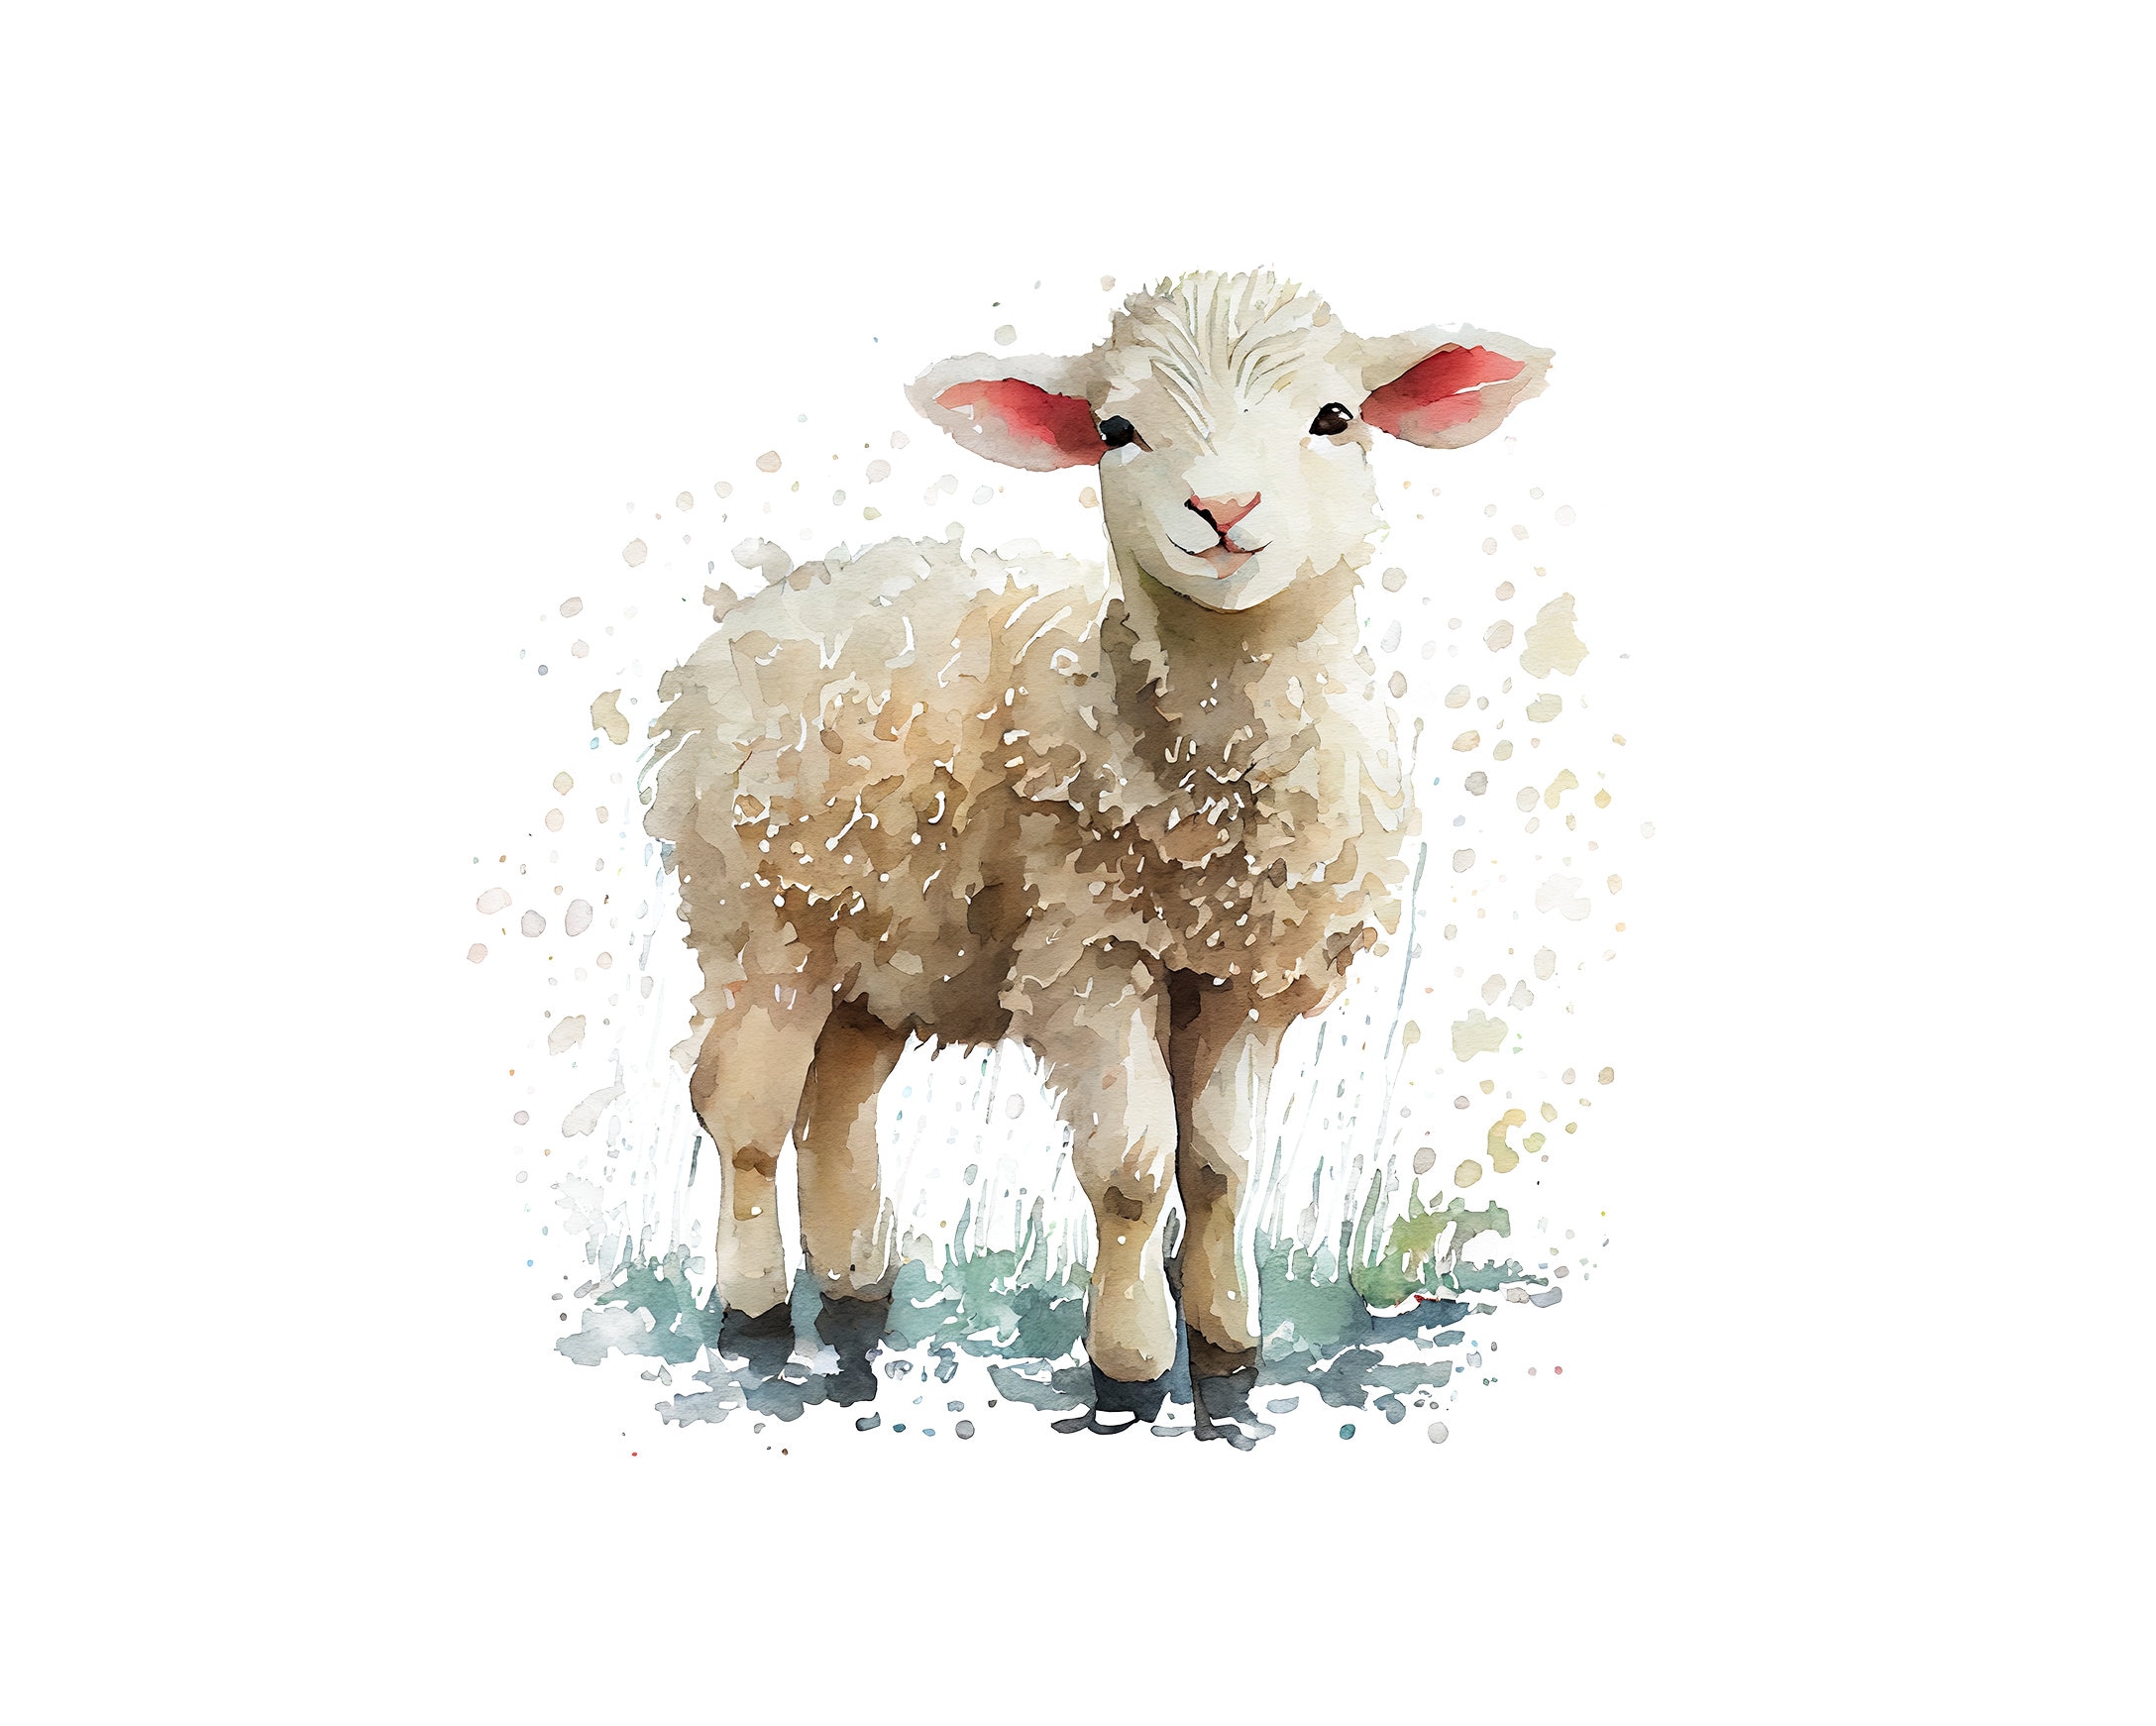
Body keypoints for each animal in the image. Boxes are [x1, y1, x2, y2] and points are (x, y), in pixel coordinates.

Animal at [645, 269, 1550, 1401]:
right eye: (1116, 430)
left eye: (1335, 417)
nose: (1222, 510)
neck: (1210, 789)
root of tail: (769, 598)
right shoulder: (1089, 951)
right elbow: (1131, 1168)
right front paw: (1130, 1362)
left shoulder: (1246, 972)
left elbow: (1221, 1165)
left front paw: (1228, 1341)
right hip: (763, 917)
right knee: (743, 1113)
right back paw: (757, 1307)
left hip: (884, 940)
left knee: (837, 1110)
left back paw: (859, 1281)